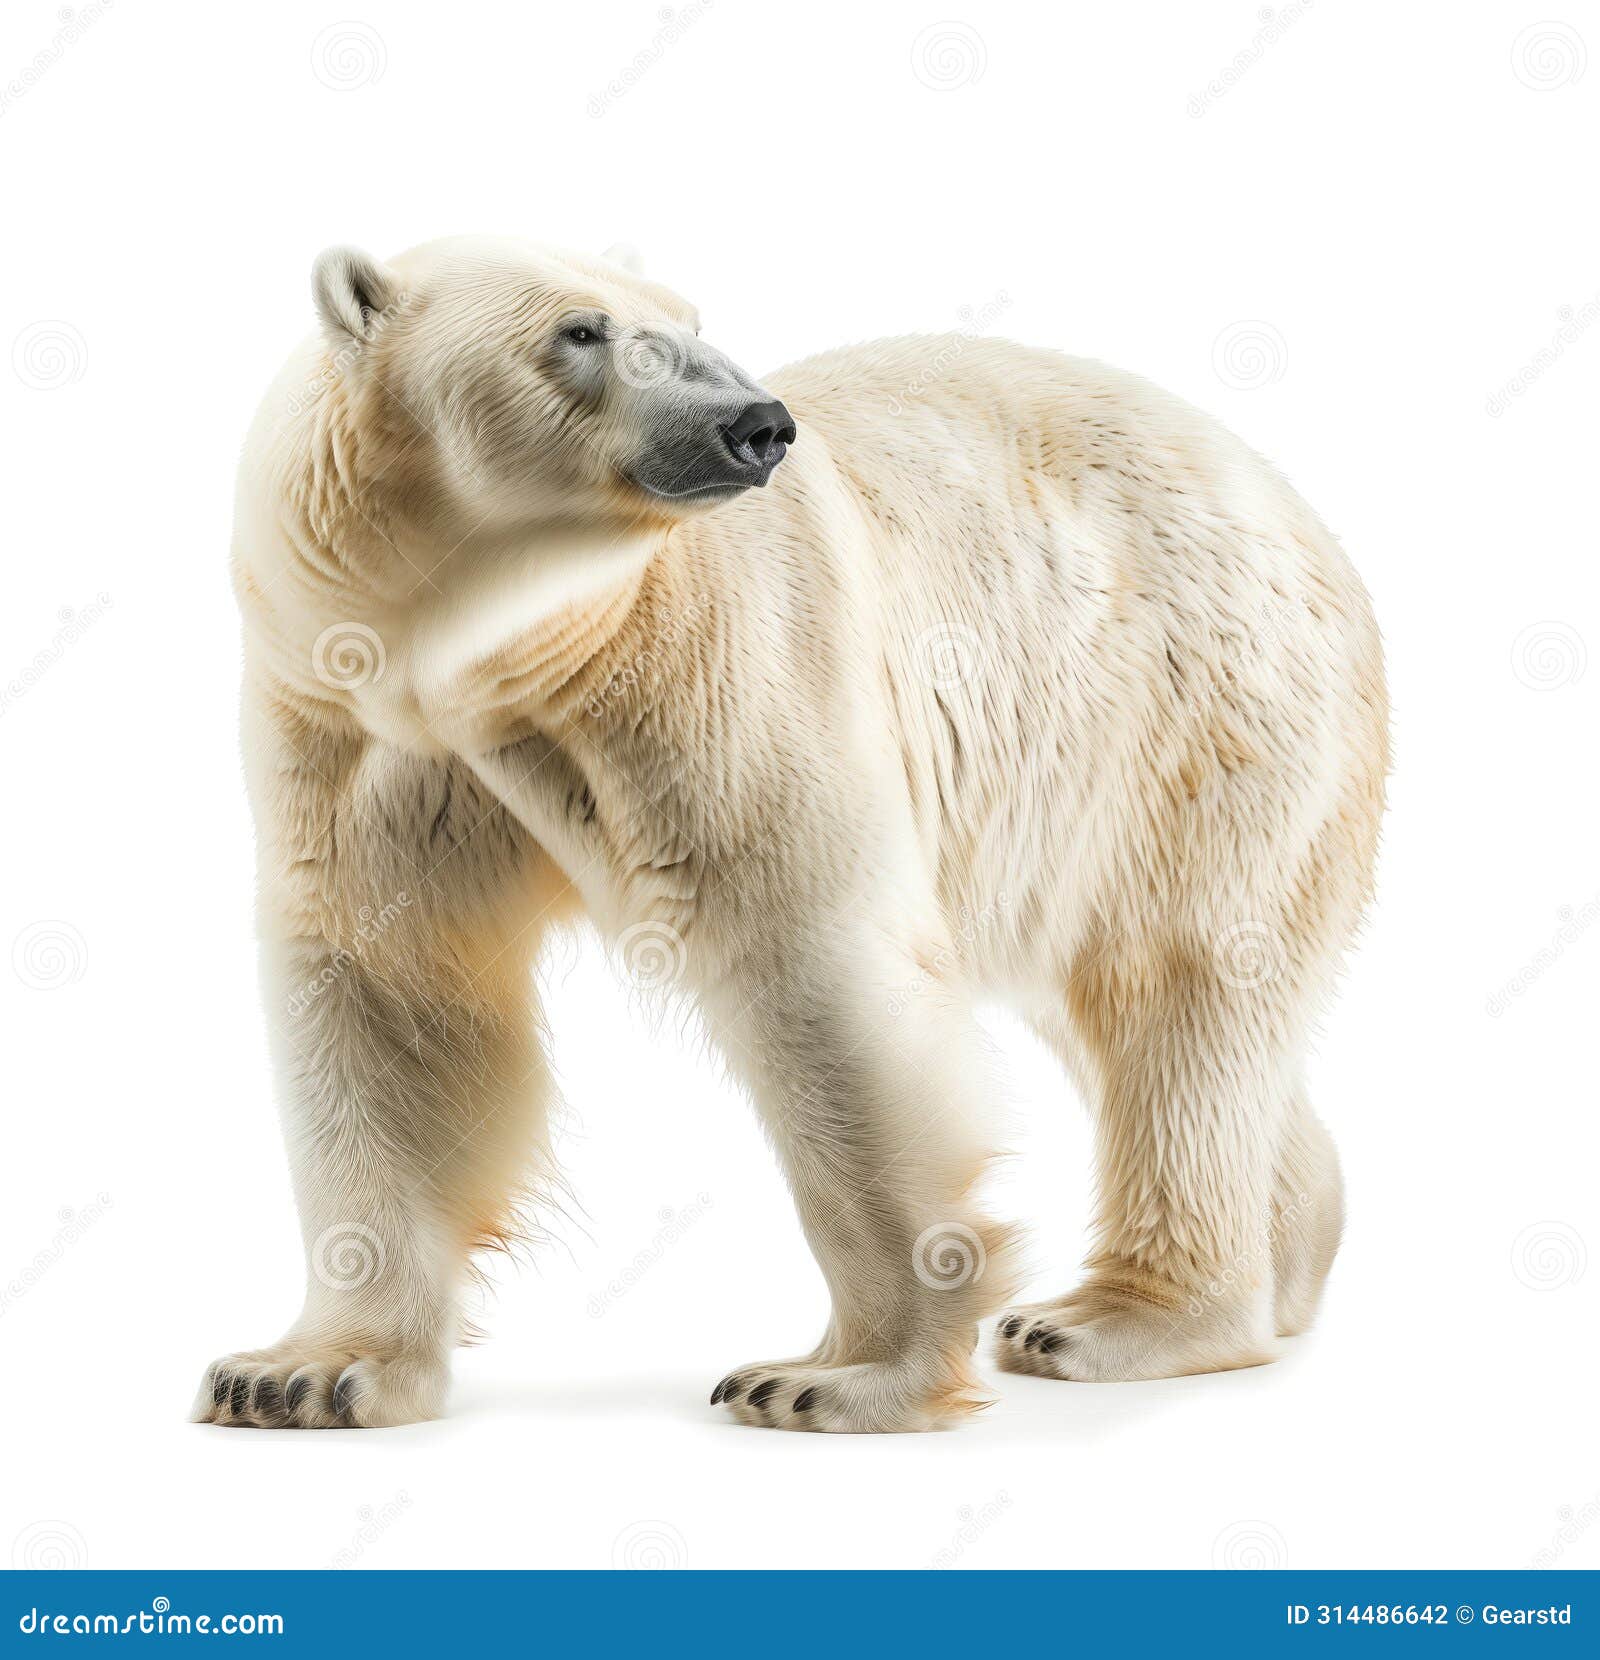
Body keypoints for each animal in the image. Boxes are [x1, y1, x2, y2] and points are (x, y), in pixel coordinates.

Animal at [194, 235, 1386, 1432]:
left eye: (689, 318)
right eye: (581, 330)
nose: (757, 423)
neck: (496, 663)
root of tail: (1286, 497)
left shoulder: (718, 669)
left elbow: (817, 965)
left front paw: (831, 1377)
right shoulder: (360, 730)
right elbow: (389, 991)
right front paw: (294, 1373)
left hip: (1186, 720)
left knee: (1175, 987)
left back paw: (1108, 1321)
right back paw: (1285, 1252)